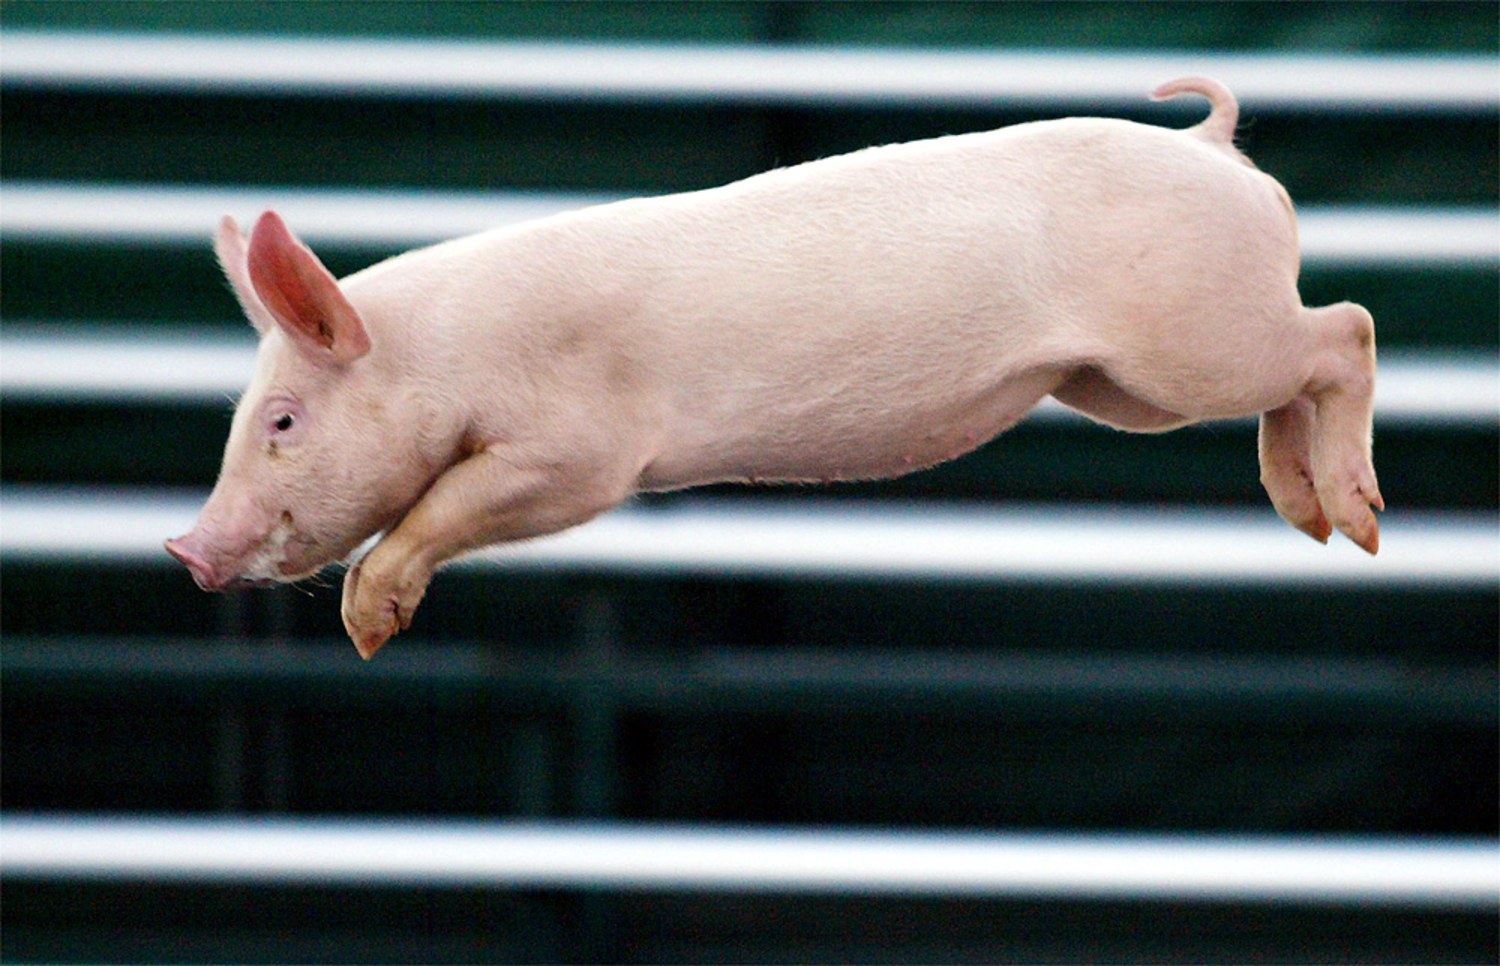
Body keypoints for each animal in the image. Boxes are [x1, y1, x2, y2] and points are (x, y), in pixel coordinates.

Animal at [166, 76, 1382, 659]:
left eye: (281, 422)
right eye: (239, 417)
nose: (186, 547)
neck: (452, 351)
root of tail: (1212, 149)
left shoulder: (583, 455)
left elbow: (449, 504)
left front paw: (367, 626)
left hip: (1194, 341)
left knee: (1350, 327)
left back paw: (1360, 526)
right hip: (1123, 386)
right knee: (1304, 370)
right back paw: (1311, 521)